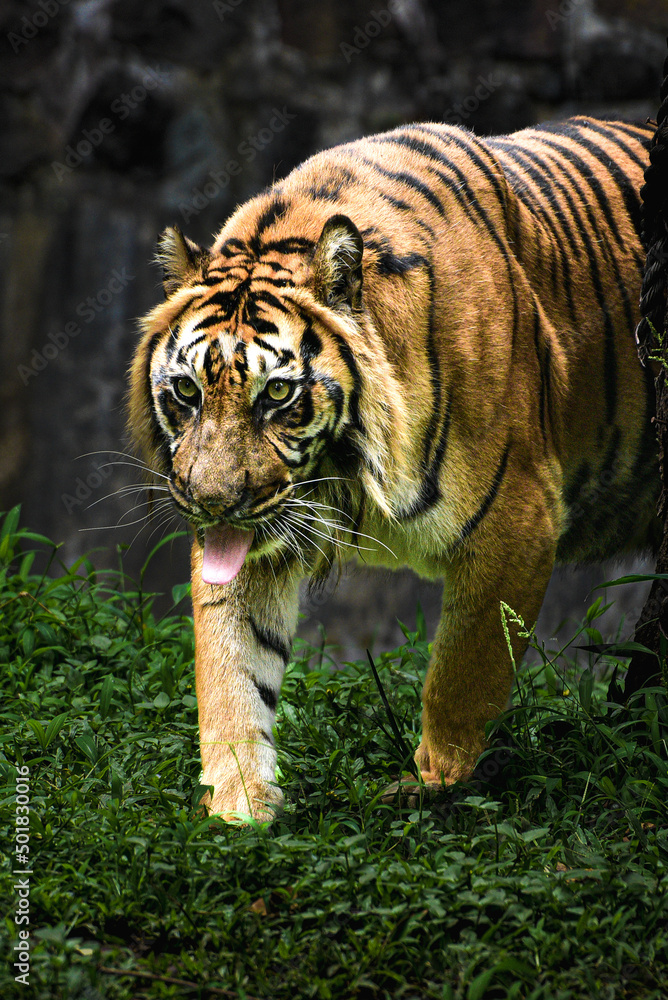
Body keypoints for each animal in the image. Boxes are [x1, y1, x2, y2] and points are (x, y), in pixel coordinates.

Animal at [129, 115, 659, 822]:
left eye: (277, 394)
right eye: (187, 391)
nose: (212, 502)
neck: (349, 476)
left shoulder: (517, 520)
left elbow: (464, 674)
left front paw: (436, 785)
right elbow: (231, 669)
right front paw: (237, 807)